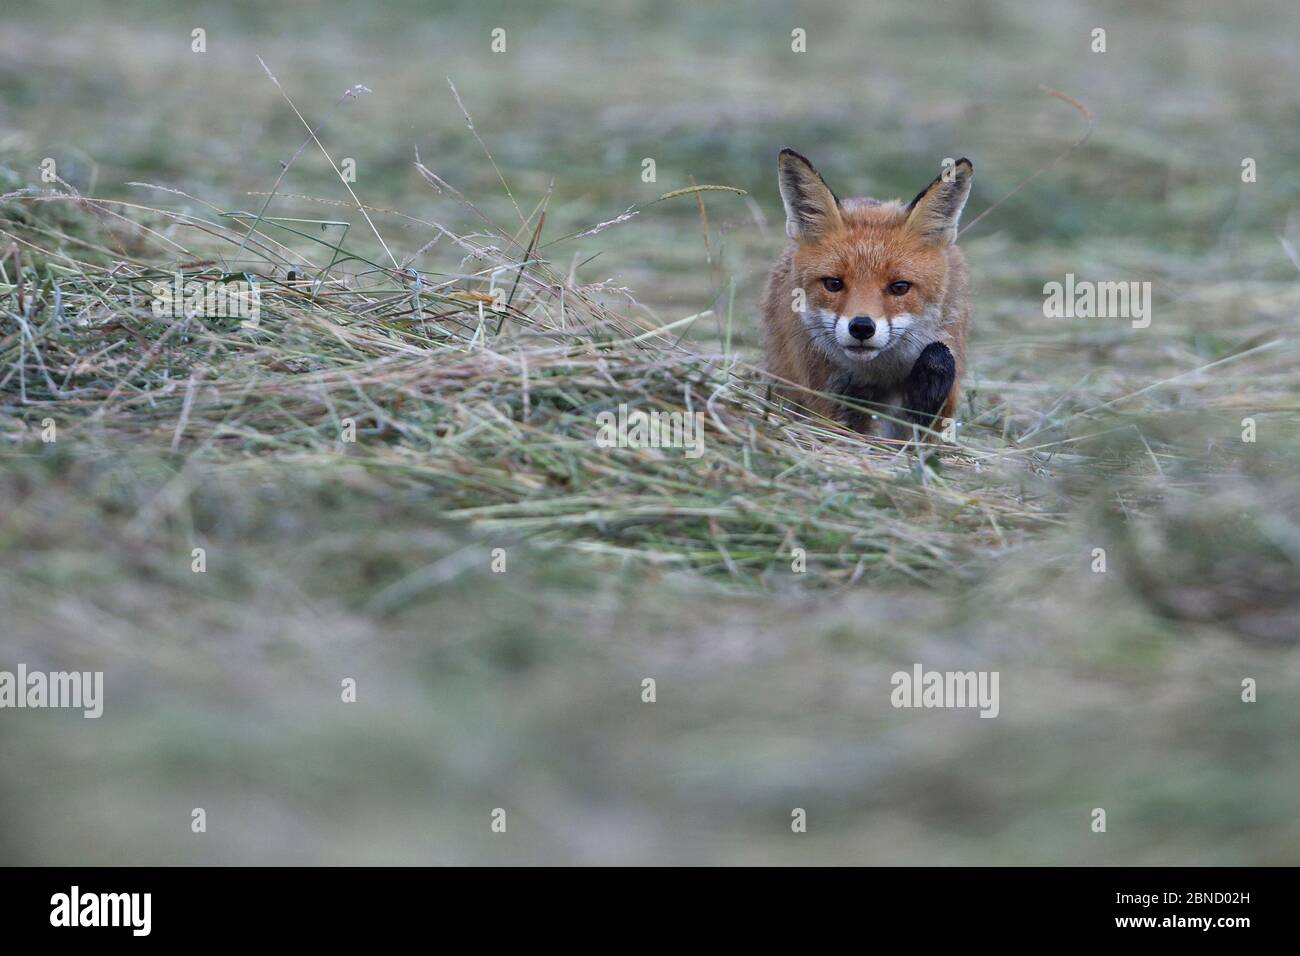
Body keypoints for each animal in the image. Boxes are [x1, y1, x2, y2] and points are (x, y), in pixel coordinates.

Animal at [761, 148, 973, 441]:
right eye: (833, 284)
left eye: (899, 287)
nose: (861, 327)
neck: (879, 372)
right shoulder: (827, 391)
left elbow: (938, 367)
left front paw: (930, 378)